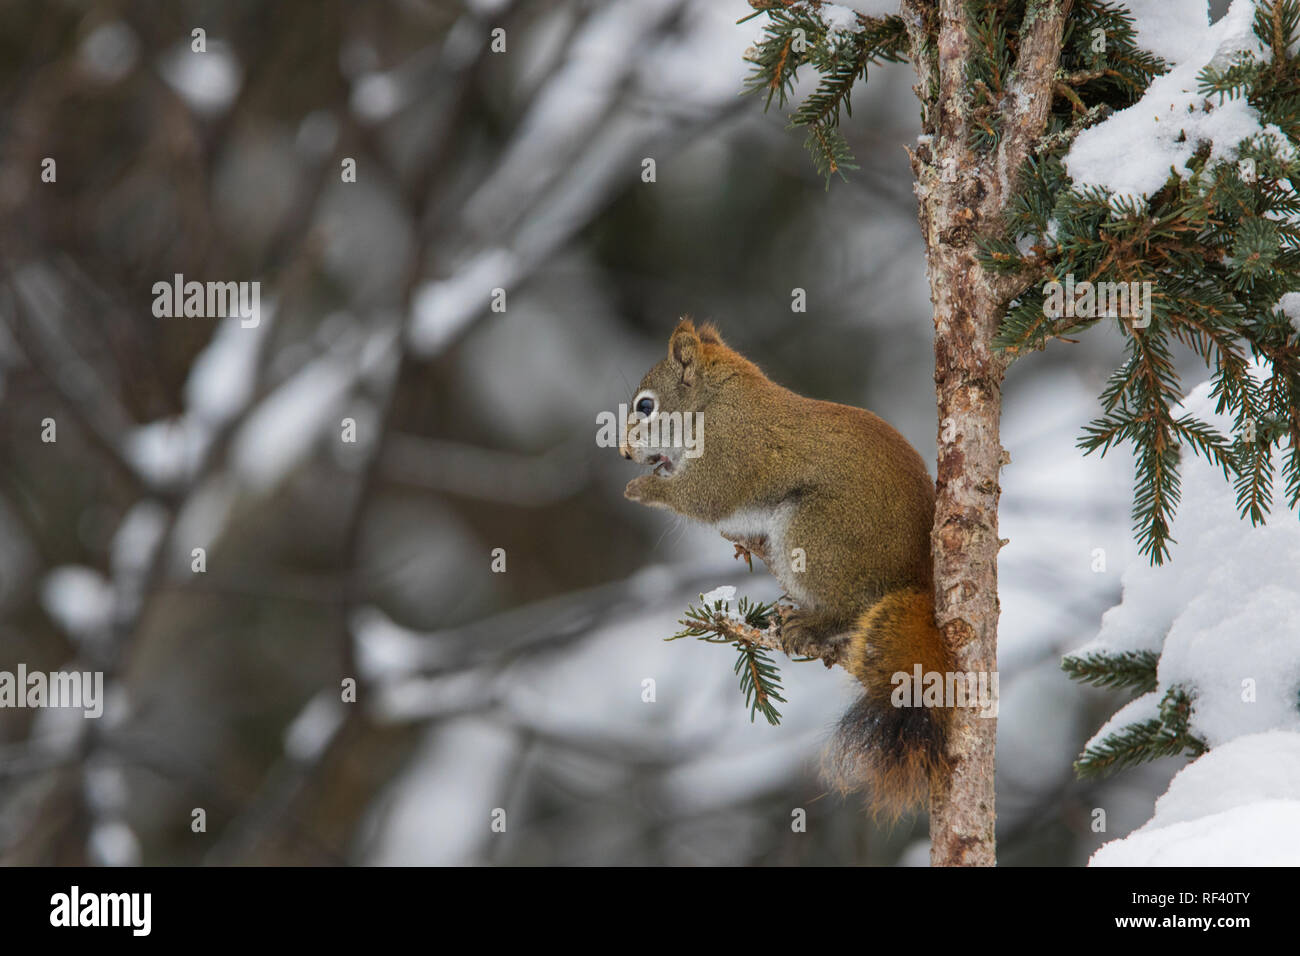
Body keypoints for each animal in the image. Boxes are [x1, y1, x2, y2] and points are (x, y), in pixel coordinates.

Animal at [620, 318, 952, 819]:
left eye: (646, 406)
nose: (623, 452)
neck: (716, 402)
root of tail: (920, 579)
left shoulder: (730, 452)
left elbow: (703, 497)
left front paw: (642, 489)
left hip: (814, 533)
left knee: (851, 608)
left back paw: (809, 622)